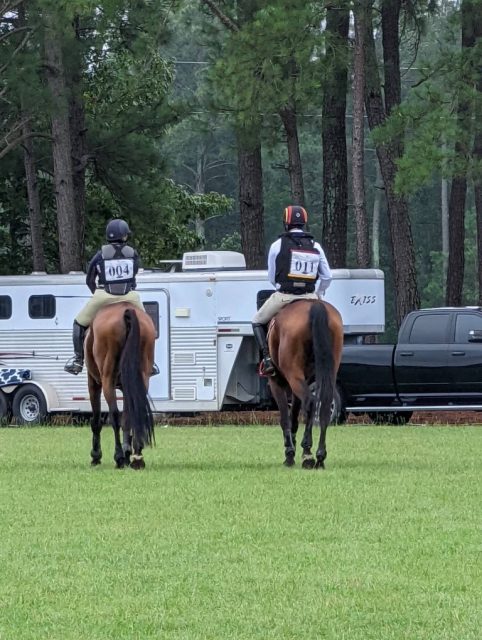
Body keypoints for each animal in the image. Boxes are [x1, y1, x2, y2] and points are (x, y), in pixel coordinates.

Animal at [84, 302, 156, 470]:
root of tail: (126, 309)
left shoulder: (93, 383)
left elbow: (96, 421)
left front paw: (96, 456)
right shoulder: (126, 387)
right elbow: (128, 418)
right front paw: (128, 452)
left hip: (107, 380)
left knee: (115, 416)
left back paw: (119, 457)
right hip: (142, 378)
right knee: (133, 414)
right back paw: (137, 458)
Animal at [267, 299, 343, 469]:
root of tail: (315, 305)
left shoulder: (276, 383)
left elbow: (285, 419)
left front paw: (289, 453)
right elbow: (294, 418)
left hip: (293, 375)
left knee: (310, 402)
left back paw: (307, 453)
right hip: (328, 372)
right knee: (323, 405)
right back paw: (319, 456)